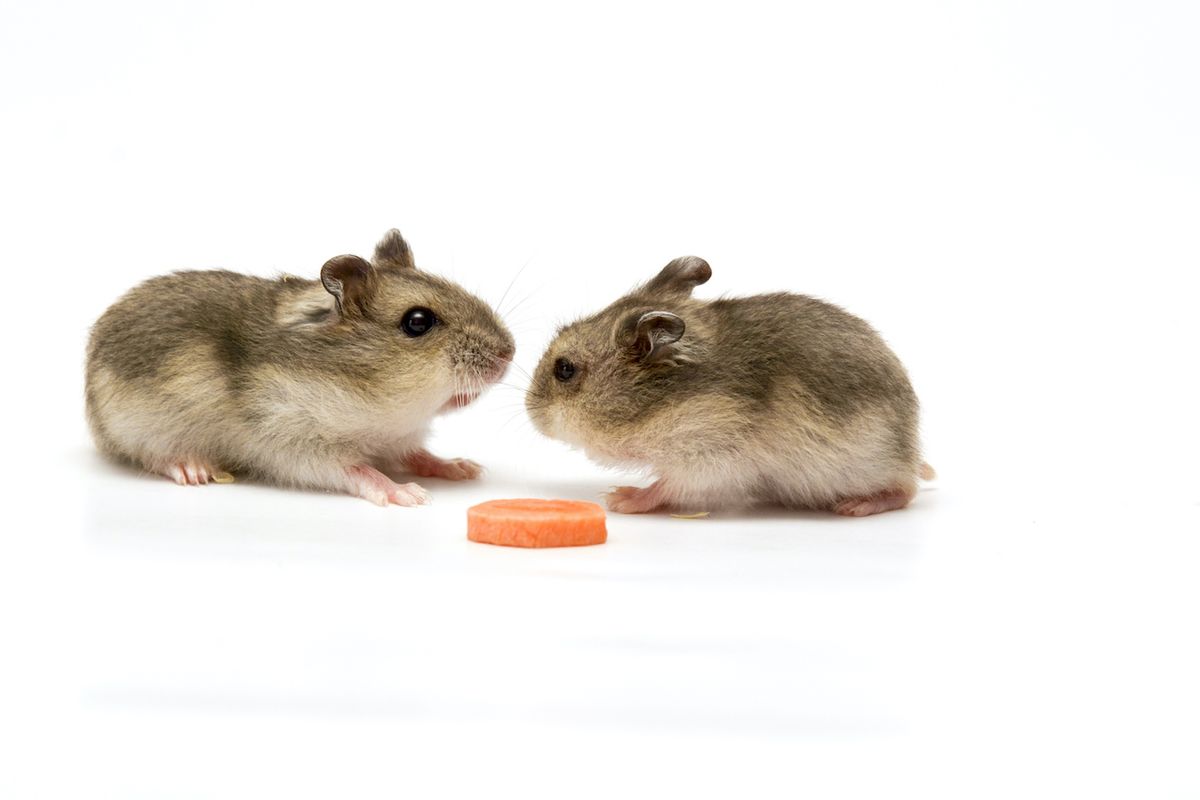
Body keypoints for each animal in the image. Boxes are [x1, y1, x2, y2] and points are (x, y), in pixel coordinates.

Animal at [86, 229, 514, 506]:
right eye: (418, 322)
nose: (509, 354)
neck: (374, 399)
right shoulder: (295, 443)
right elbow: (358, 470)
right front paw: (408, 494)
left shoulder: (395, 436)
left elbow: (417, 454)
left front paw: (465, 467)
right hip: (136, 429)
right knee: (149, 454)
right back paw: (193, 469)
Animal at [525, 256, 933, 516]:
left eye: (564, 370)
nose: (531, 414)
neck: (660, 403)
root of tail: (911, 447)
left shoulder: (707, 454)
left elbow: (667, 484)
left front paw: (619, 499)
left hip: (868, 464)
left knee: (907, 488)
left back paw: (856, 506)